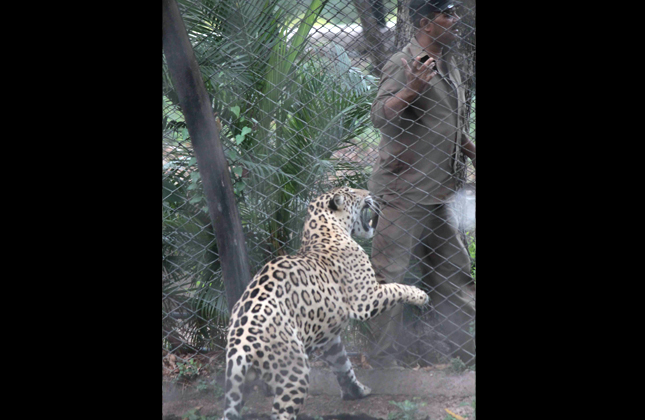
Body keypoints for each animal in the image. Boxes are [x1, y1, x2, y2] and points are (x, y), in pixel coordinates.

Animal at [222, 187, 429, 420]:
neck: (325, 229)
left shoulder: (330, 337)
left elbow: (343, 365)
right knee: (283, 412)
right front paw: (420, 295)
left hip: (237, 388)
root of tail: (240, 345)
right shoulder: (366, 298)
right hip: (294, 372)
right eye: (351, 192)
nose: (368, 191)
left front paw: (356, 391)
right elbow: (396, 287)